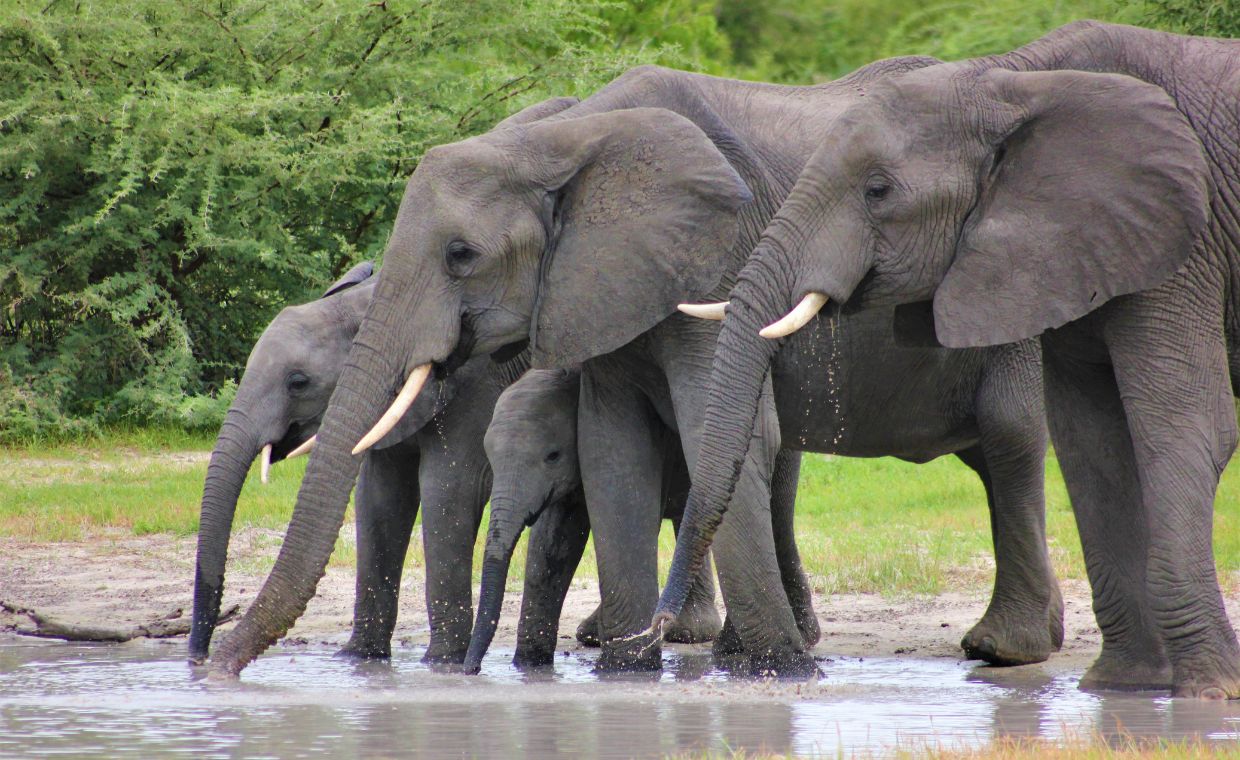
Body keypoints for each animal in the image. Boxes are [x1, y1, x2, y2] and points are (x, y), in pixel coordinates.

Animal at [655, 21, 1240, 698]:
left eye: (878, 191)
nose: (654, 628)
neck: (1011, 80)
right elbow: (1092, 443)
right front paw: (1125, 688)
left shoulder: (1177, 240)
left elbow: (1182, 429)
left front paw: (1199, 694)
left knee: (1010, 436)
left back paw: (1002, 649)